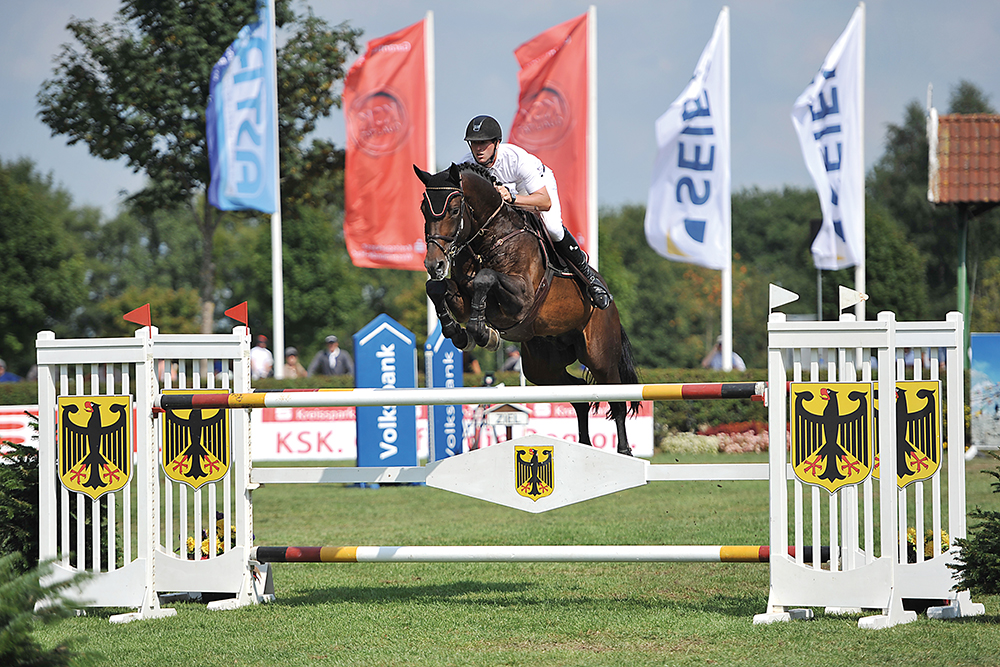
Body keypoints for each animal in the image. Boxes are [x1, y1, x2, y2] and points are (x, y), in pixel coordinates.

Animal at [414, 162, 641, 455]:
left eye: (454, 210)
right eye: (423, 209)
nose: (435, 264)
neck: (488, 239)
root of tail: (611, 303)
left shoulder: (522, 300)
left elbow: (485, 278)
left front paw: (482, 332)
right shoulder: (461, 296)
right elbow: (436, 288)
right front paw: (458, 332)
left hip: (599, 355)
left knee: (615, 397)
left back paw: (624, 451)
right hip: (542, 367)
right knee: (578, 394)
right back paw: (583, 445)